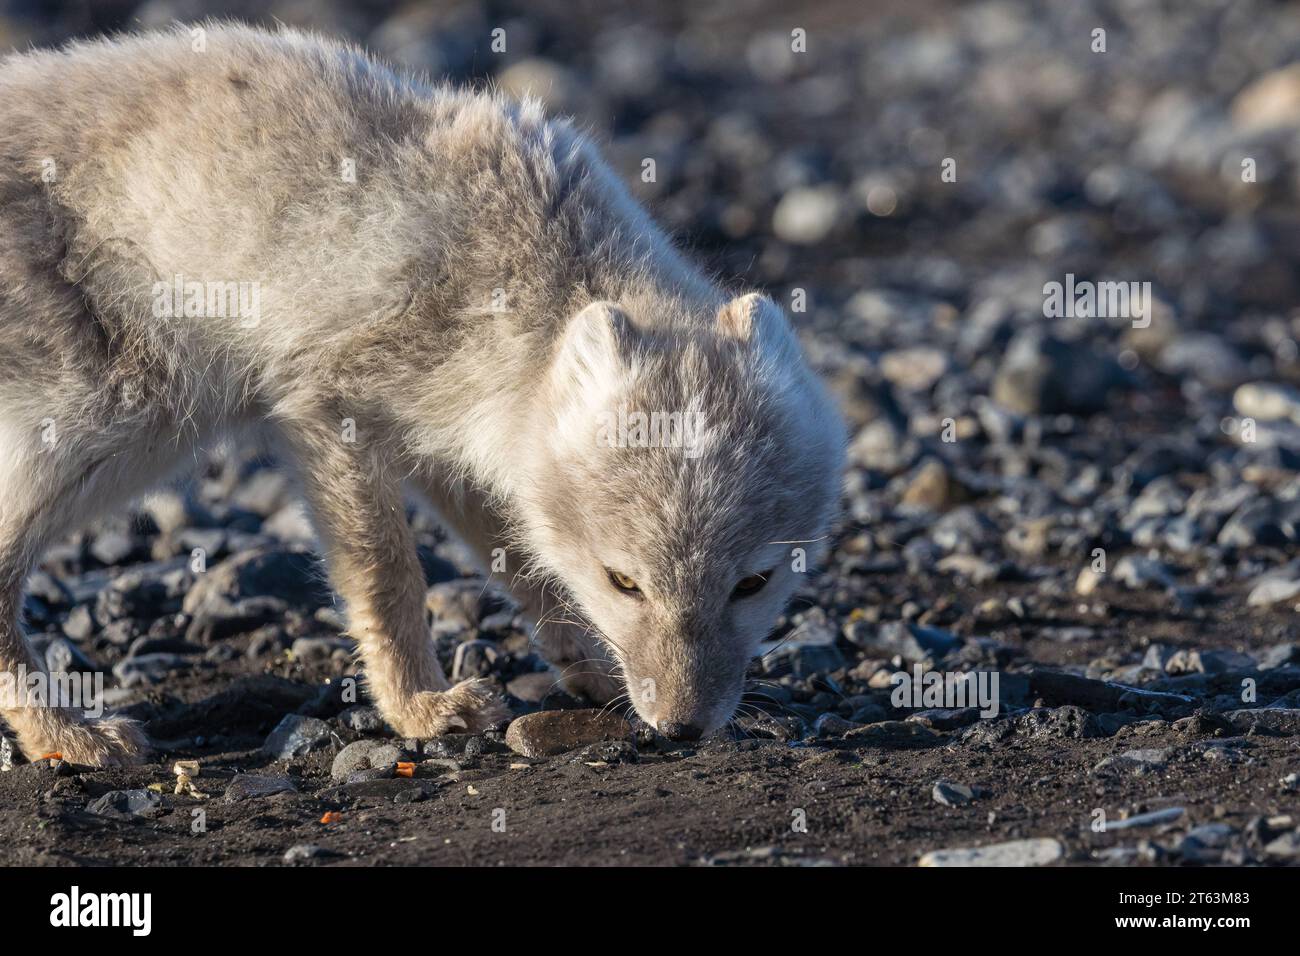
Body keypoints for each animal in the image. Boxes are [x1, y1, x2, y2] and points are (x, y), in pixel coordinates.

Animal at [0, 24, 846, 766]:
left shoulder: (467, 444)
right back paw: (66, 734)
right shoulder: (328, 404)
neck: (528, 284)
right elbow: (387, 577)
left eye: (755, 582)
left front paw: (591, 667)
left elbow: (524, 560)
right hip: (125, 412)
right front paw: (419, 709)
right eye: (625, 581)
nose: (682, 728)